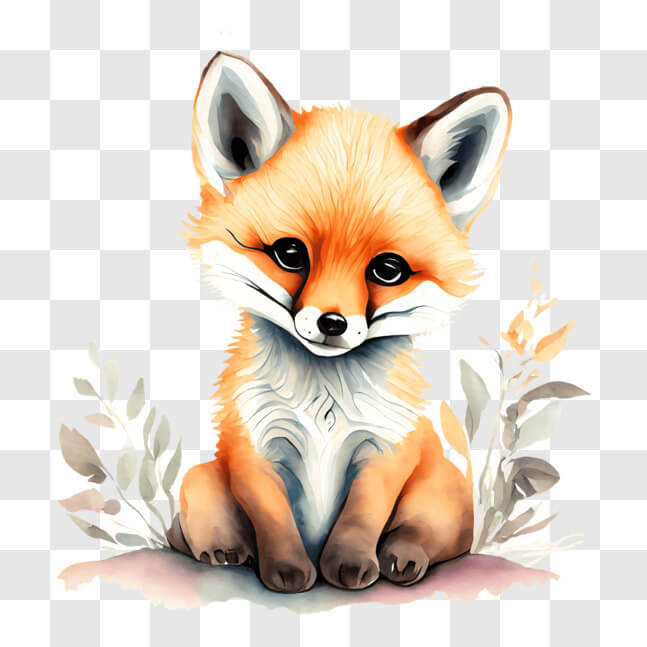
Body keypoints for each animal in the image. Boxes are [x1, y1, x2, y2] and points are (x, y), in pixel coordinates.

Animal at [167, 51, 511, 593]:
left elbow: (362, 517)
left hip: (442, 486)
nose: (332, 323)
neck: (324, 404)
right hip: (201, 480)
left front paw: (348, 562)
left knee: (426, 533)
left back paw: (403, 556)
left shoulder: (384, 447)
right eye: (290, 254)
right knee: (191, 528)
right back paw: (227, 550)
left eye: (388, 270)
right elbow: (273, 520)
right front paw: (288, 569)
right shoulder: (256, 447)